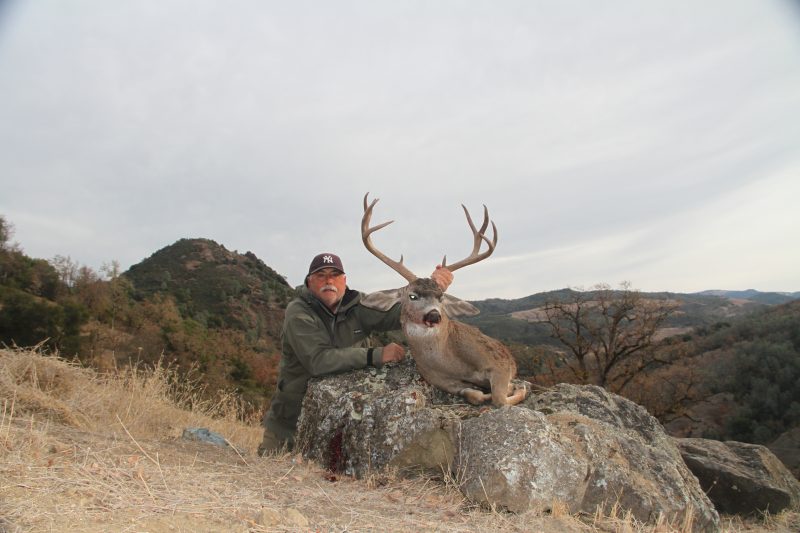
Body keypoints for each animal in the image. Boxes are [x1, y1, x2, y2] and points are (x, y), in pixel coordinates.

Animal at [359, 193, 528, 407]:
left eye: (441, 298)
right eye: (412, 295)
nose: (434, 315)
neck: (451, 364)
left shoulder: (500, 364)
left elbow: (500, 399)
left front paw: (517, 388)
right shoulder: (441, 381)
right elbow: (474, 395)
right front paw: (487, 393)